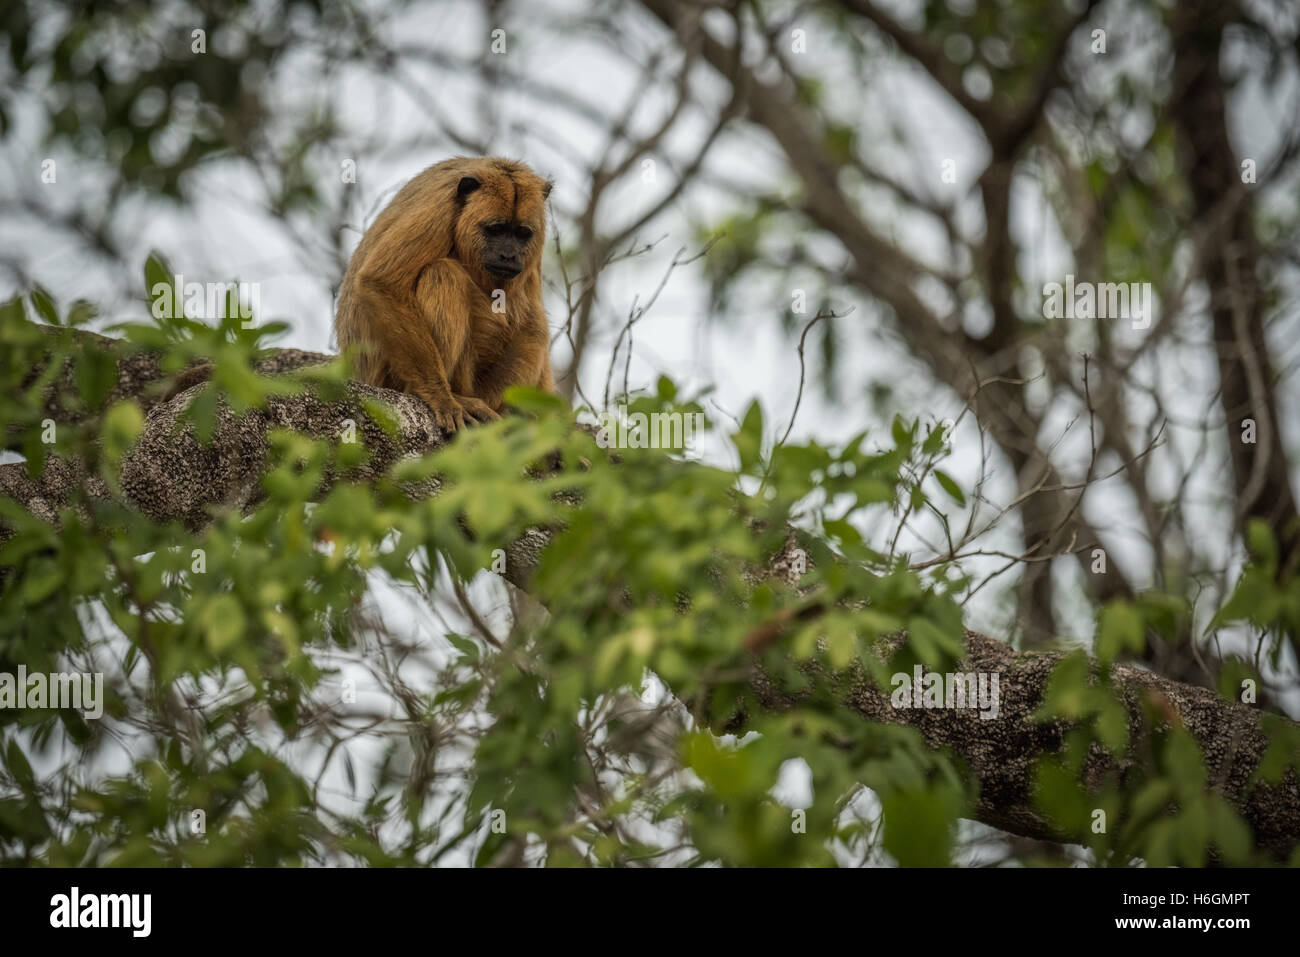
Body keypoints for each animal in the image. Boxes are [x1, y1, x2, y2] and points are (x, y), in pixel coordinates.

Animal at [334, 156, 555, 432]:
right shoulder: (439, 210)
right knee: (442, 274)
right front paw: (440, 397)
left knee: (534, 321)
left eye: (522, 233)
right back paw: (446, 396)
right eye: (496, 229)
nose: (508, 255)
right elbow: (381, 282)